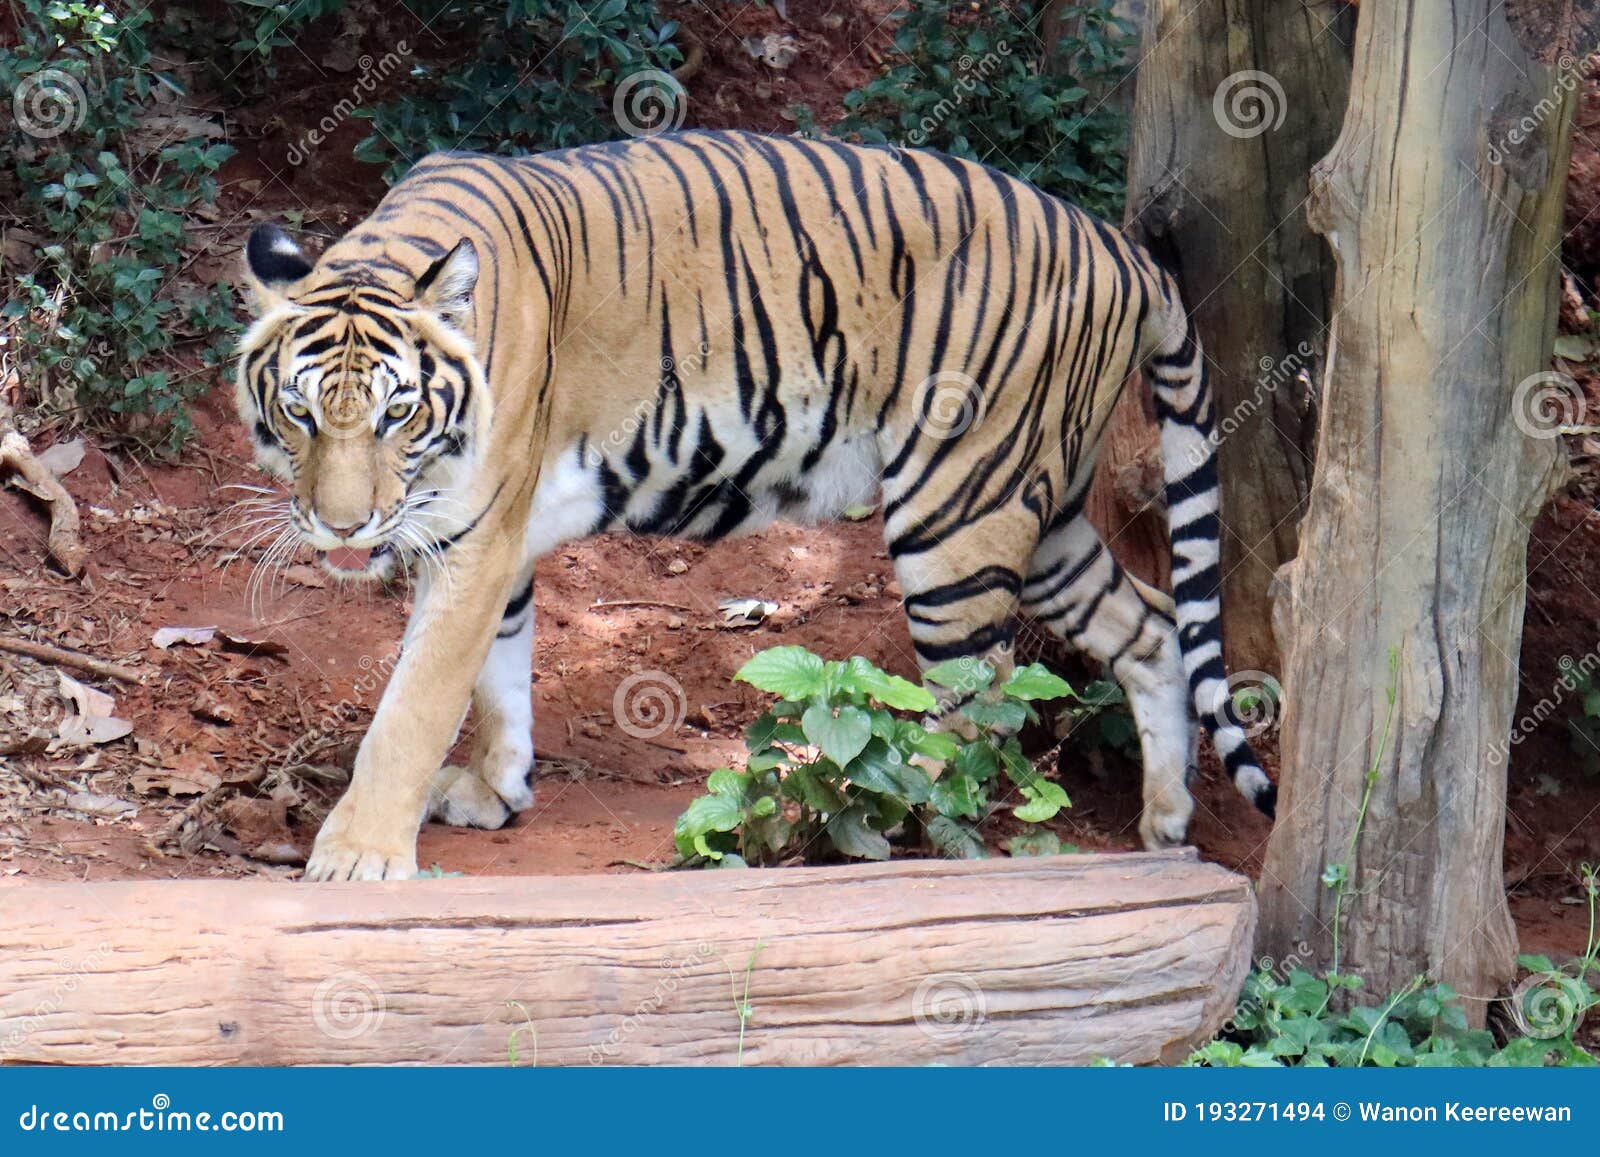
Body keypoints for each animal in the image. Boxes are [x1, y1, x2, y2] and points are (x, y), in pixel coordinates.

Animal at [234, 129, 1275, 881]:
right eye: (299, 412)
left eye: (397, 414)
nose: (342, 527)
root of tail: (1125, 251)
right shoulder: (496, 540)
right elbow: (497, 679)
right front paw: (497, 788)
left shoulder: (476, 539)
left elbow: (417, 701)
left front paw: (357, 857)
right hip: (1037, 509)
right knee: (1152, 628)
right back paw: (1167, 822)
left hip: (957, 513)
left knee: (977, 716)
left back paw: (896, 814)